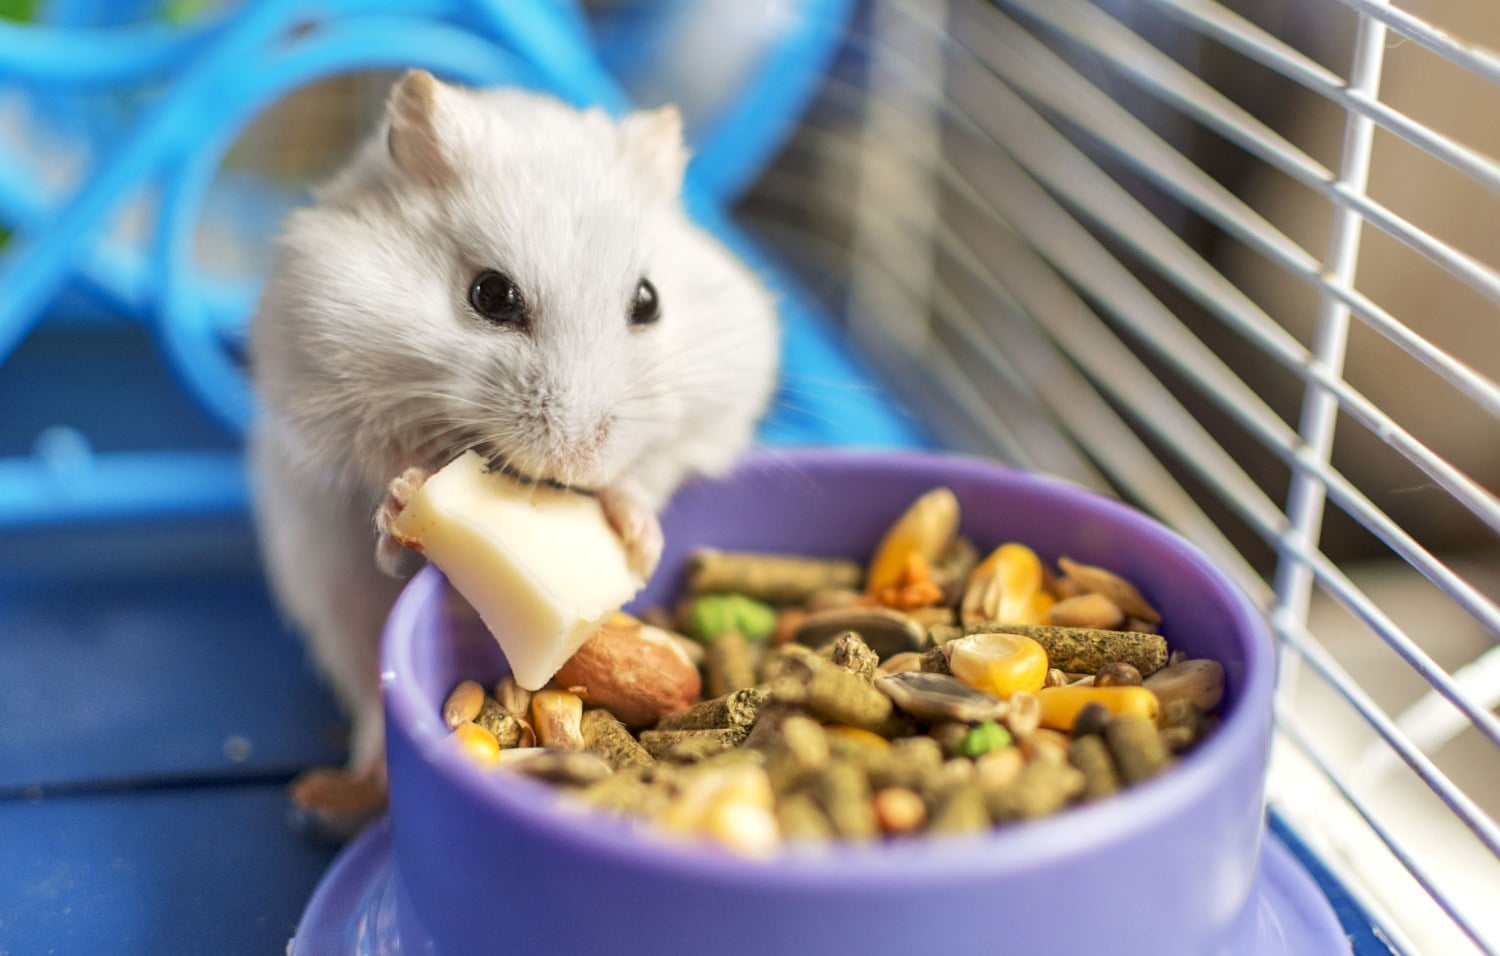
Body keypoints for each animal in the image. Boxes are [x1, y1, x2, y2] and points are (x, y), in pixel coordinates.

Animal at [248, 71, 780, 802]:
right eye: (490, 295)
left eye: (649, 301)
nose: (576, 461)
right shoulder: (325, 388)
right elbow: (384, 462)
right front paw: (406, 500)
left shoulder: (711, 411)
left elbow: (646, 476)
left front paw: (639, 544)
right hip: (331, 596)